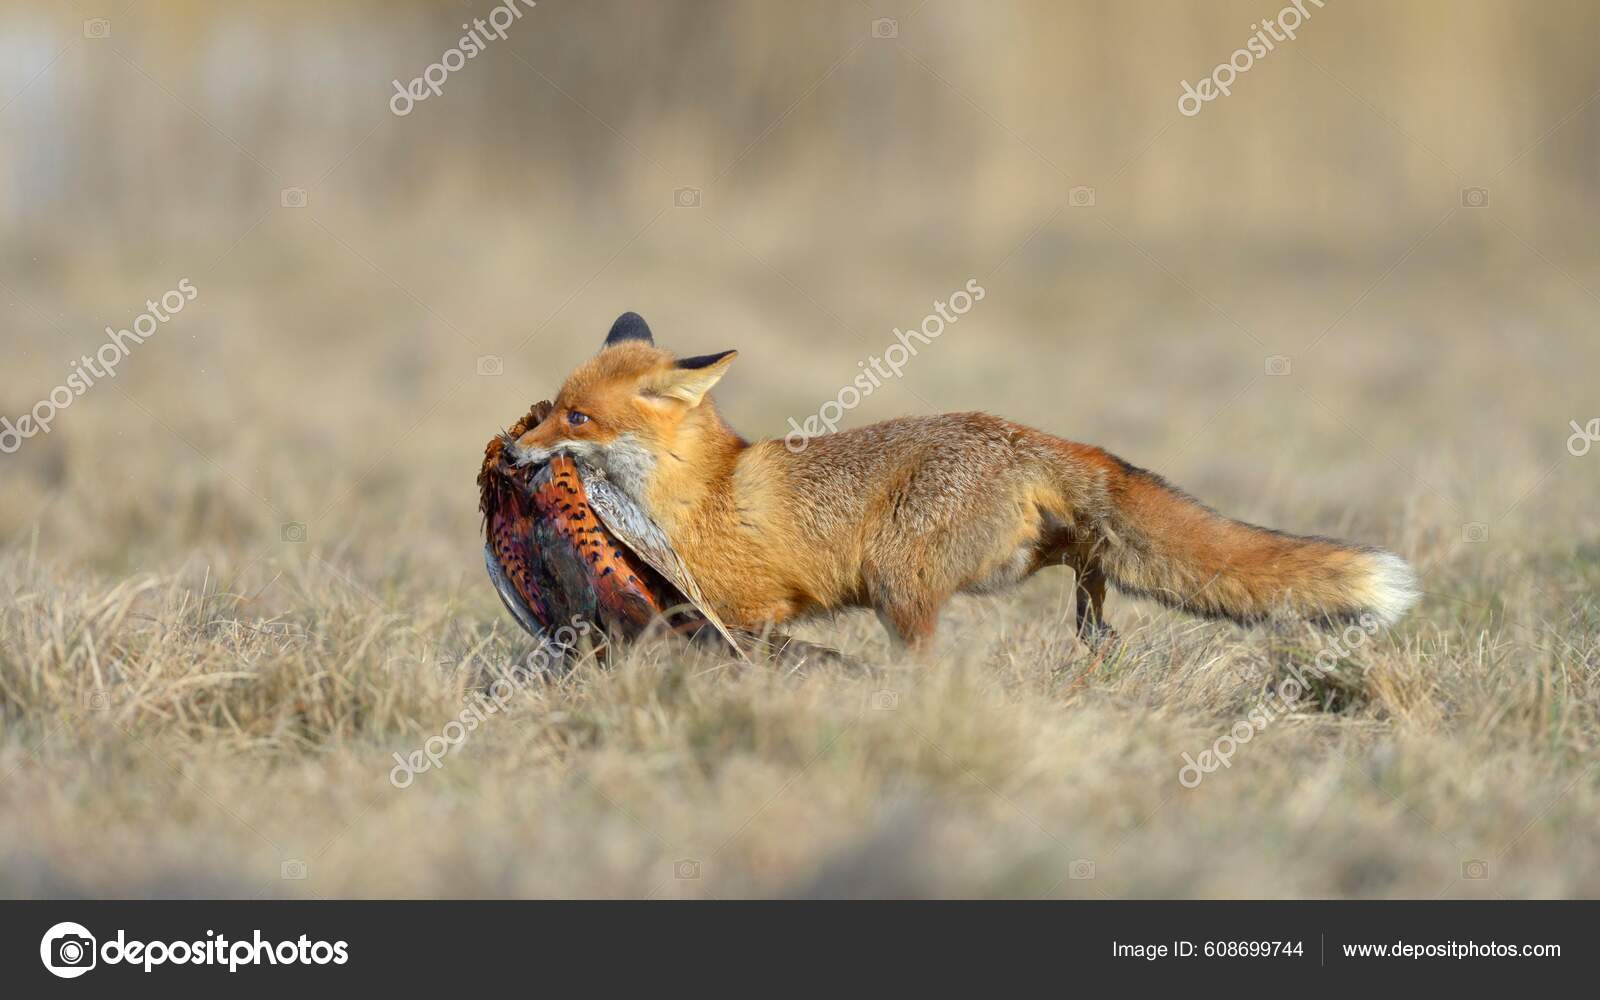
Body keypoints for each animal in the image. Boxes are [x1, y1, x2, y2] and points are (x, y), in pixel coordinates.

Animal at [508, 311, 1420, 650]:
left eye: (575, 420)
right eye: (550, 410)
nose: (515, 455)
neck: (702, 490)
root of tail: (1030, 433)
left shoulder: (749, 609)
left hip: (899, 582)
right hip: (1008, 558)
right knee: (1088, 556)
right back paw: (1093, 631)